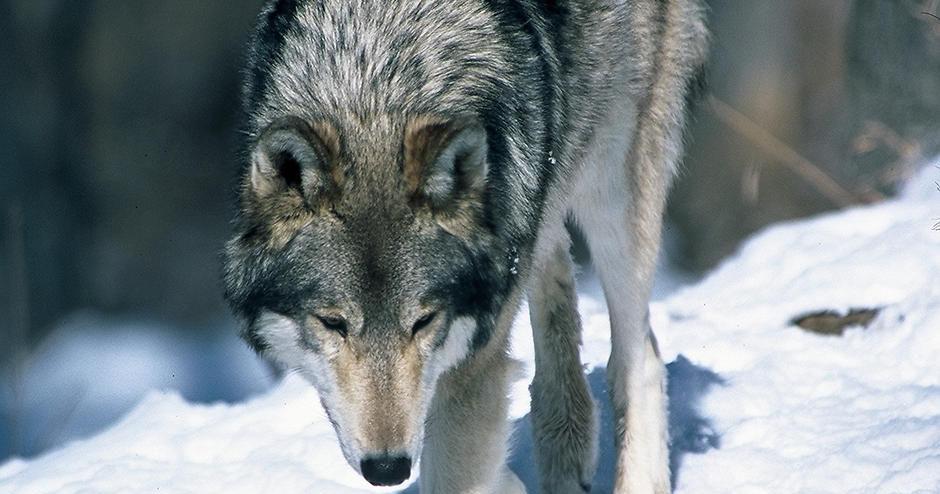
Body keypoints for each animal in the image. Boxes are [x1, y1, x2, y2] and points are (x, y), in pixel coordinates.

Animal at [222, 0, 707, 492]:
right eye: (333, 323)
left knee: (639, 357)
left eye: (423, 321)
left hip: (614, 194)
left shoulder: (472, 364)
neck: (373, 93)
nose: (388, 468)